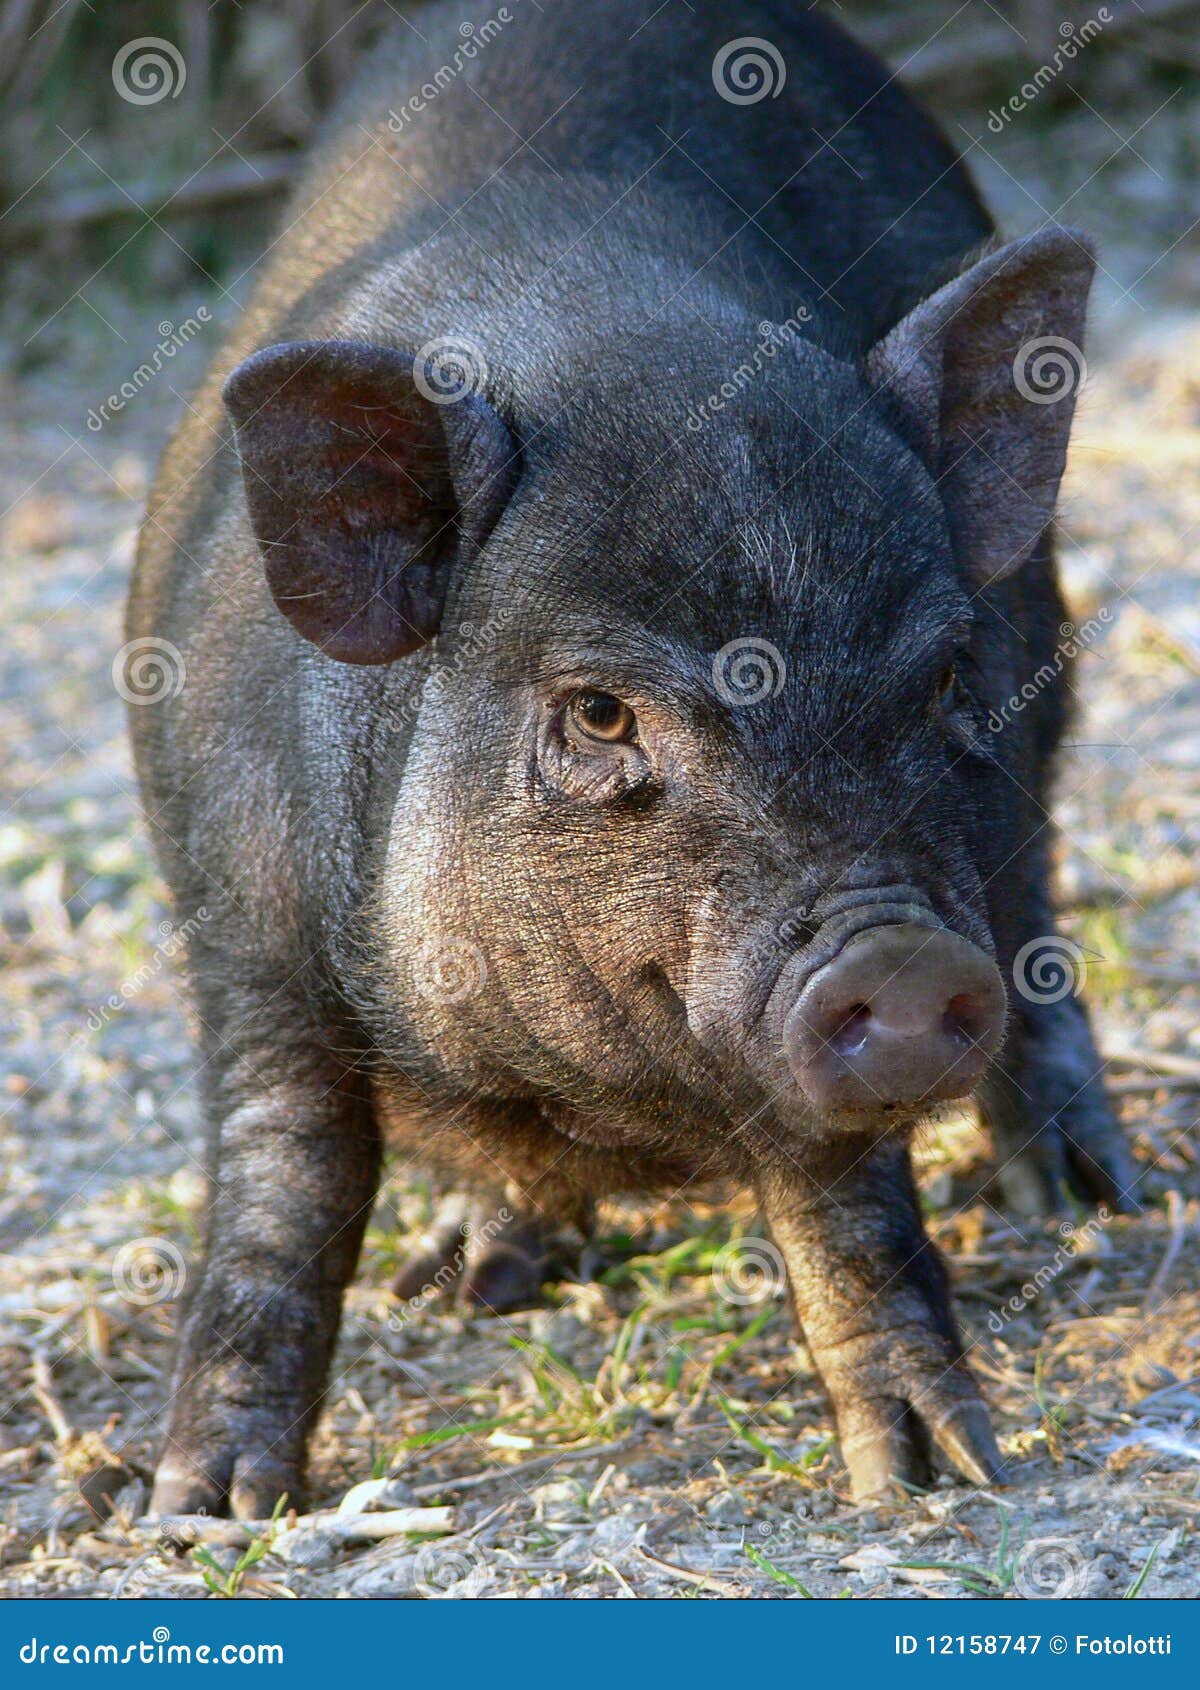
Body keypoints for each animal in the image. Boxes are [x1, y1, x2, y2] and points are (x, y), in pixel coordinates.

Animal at [127, 0, 1137, 1516]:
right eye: (602, 716)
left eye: (947, 679)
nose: (897, 952)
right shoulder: (244, 933)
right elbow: (285, 1188)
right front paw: (206, 1507)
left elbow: (849, 1213)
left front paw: (941, 1473)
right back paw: (470, 1278)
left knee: (1032, 916)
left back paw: (1092, 1194)